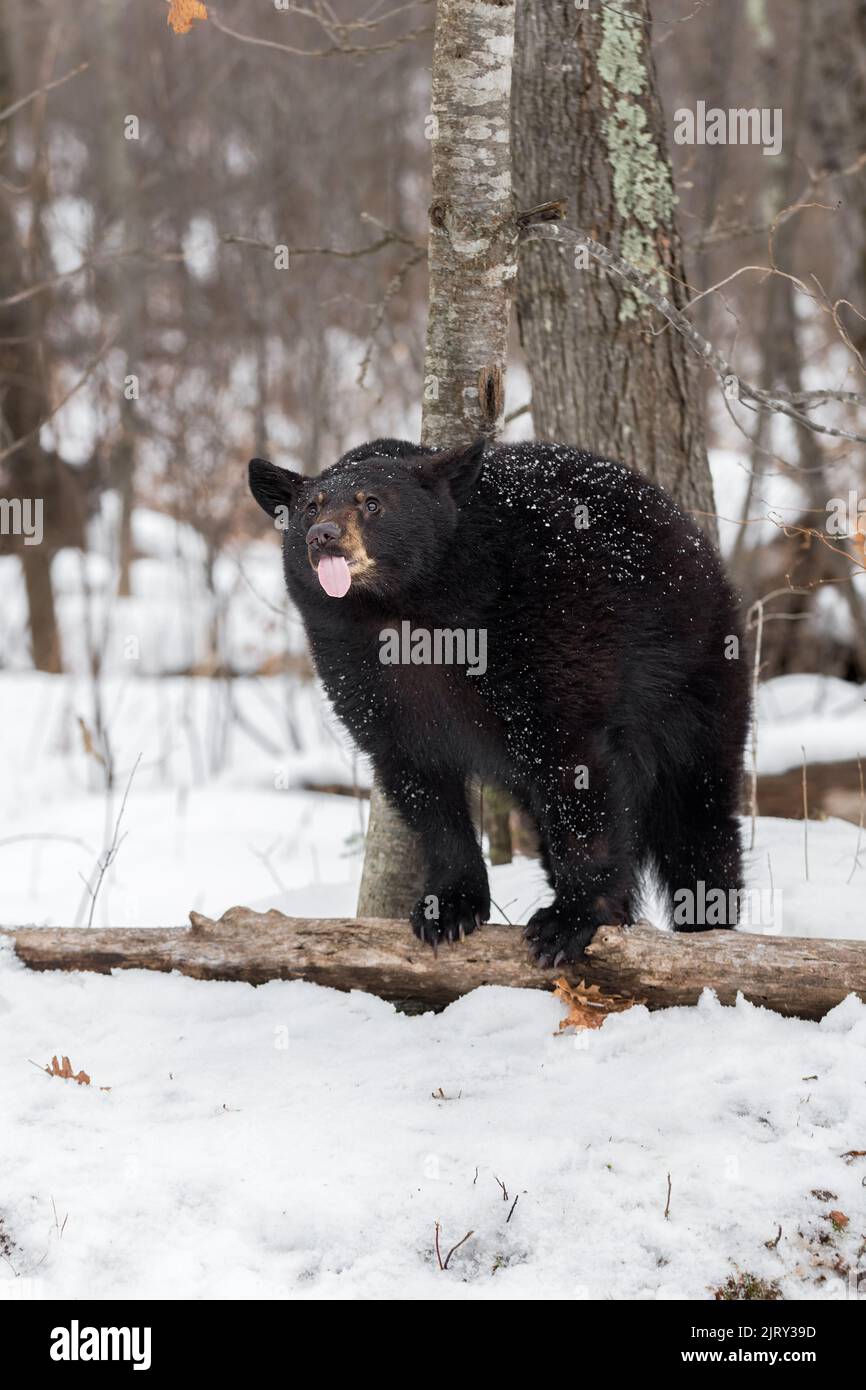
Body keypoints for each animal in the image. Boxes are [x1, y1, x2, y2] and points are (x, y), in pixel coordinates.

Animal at [249, 438, 749, 964]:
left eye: (372, 503)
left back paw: (708, 924)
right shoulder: (364, 679)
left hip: (693, 684)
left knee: (695, 813)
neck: (407, 614)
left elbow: (578, 771)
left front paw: (569, 920)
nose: (323, 535)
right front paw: (448, 907)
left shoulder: (551, 635)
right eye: (311, 506)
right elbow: (422, 787)